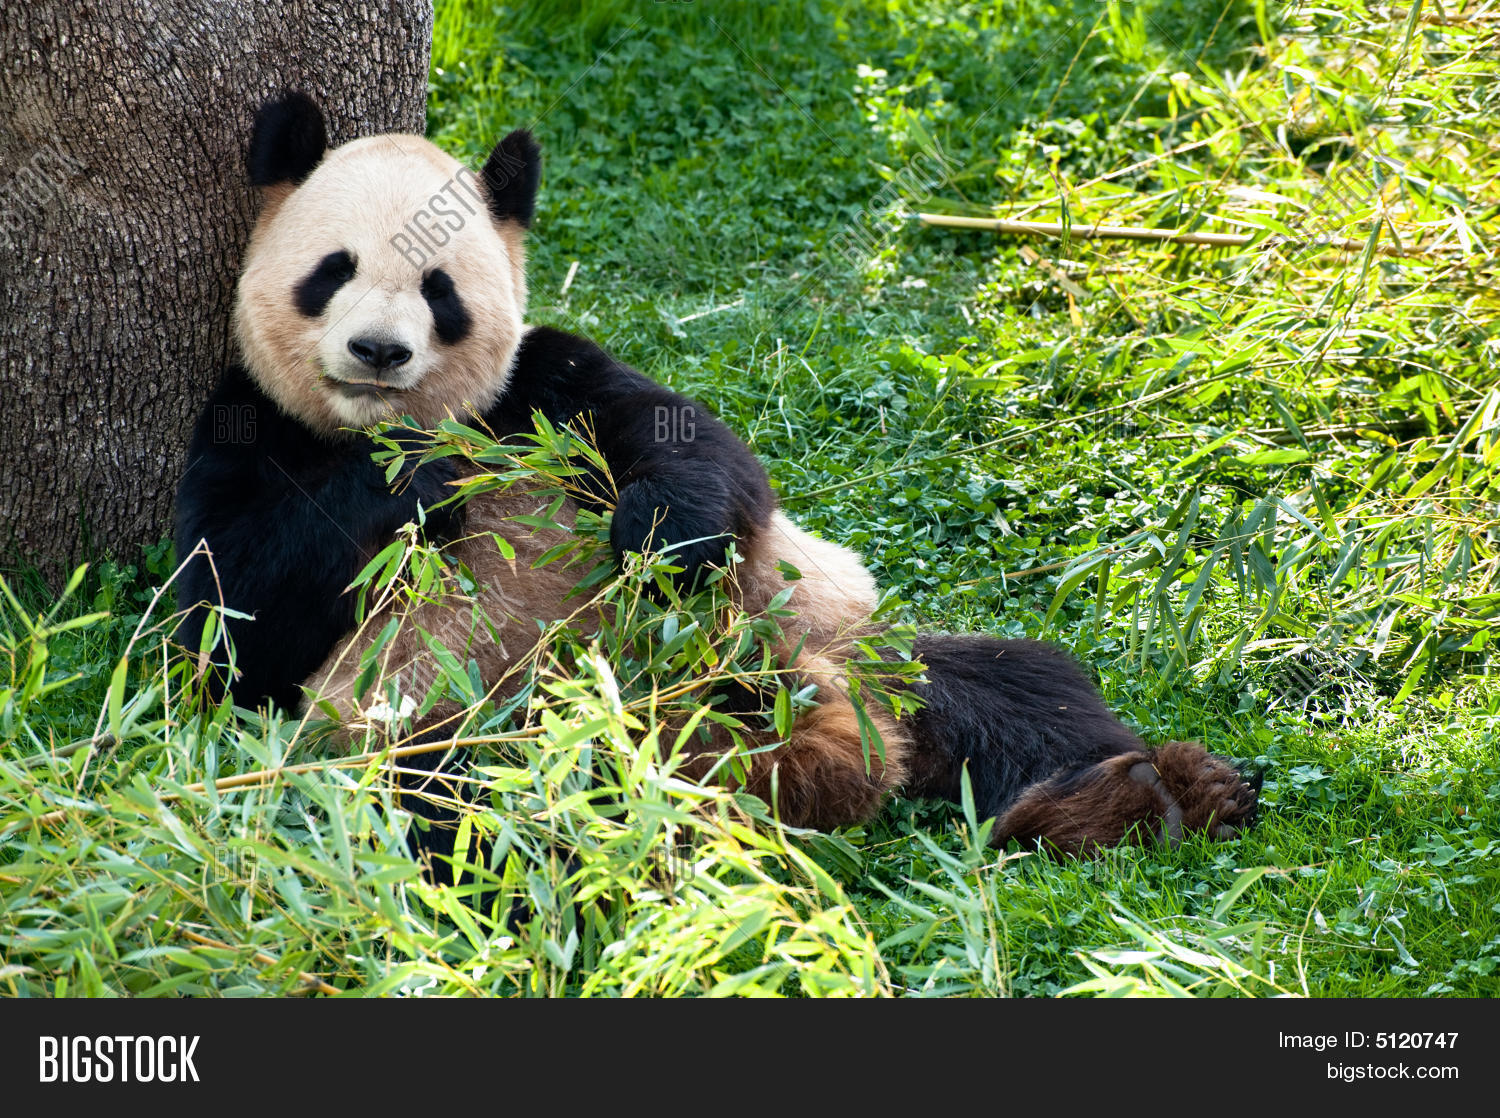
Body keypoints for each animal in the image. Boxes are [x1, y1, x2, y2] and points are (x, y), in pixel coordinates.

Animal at [175, 92, 1259, 874]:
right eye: (333, 270)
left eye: (439, 290)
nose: (378, 352)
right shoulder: (244, 427)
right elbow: (229, 620)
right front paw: (411, 479)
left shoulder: (548, 385)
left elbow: (698, 453)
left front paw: (662, 544)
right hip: (458, 736)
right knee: (473, 819)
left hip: (845, 634)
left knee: (1025, 691)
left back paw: (1146, 796)